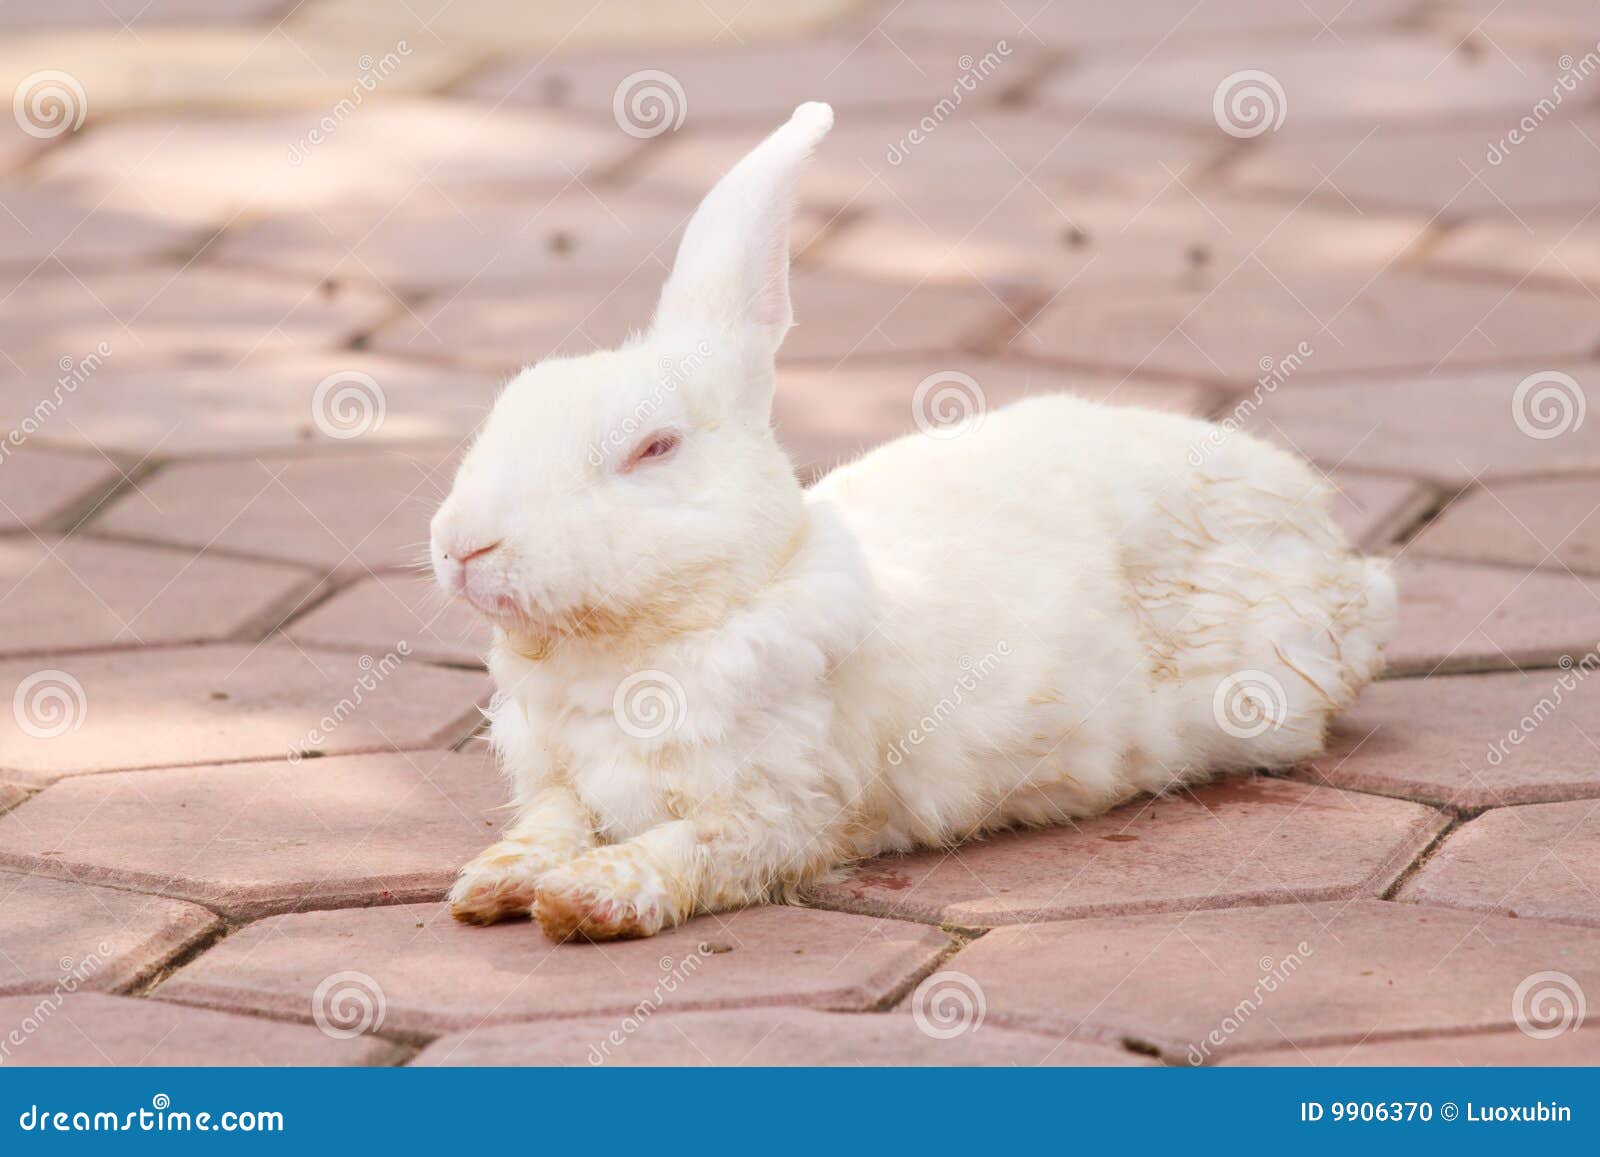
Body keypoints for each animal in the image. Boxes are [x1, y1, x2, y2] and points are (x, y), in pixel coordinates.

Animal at [431, 102, 1397, 943]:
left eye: (652, 448)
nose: (462, 546)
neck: (623, 655)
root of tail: (1338, 556)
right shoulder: (564, 779)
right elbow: (548, 824)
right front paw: (492, 884)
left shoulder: (779, 814)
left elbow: (687, 848)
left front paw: (586, 899)